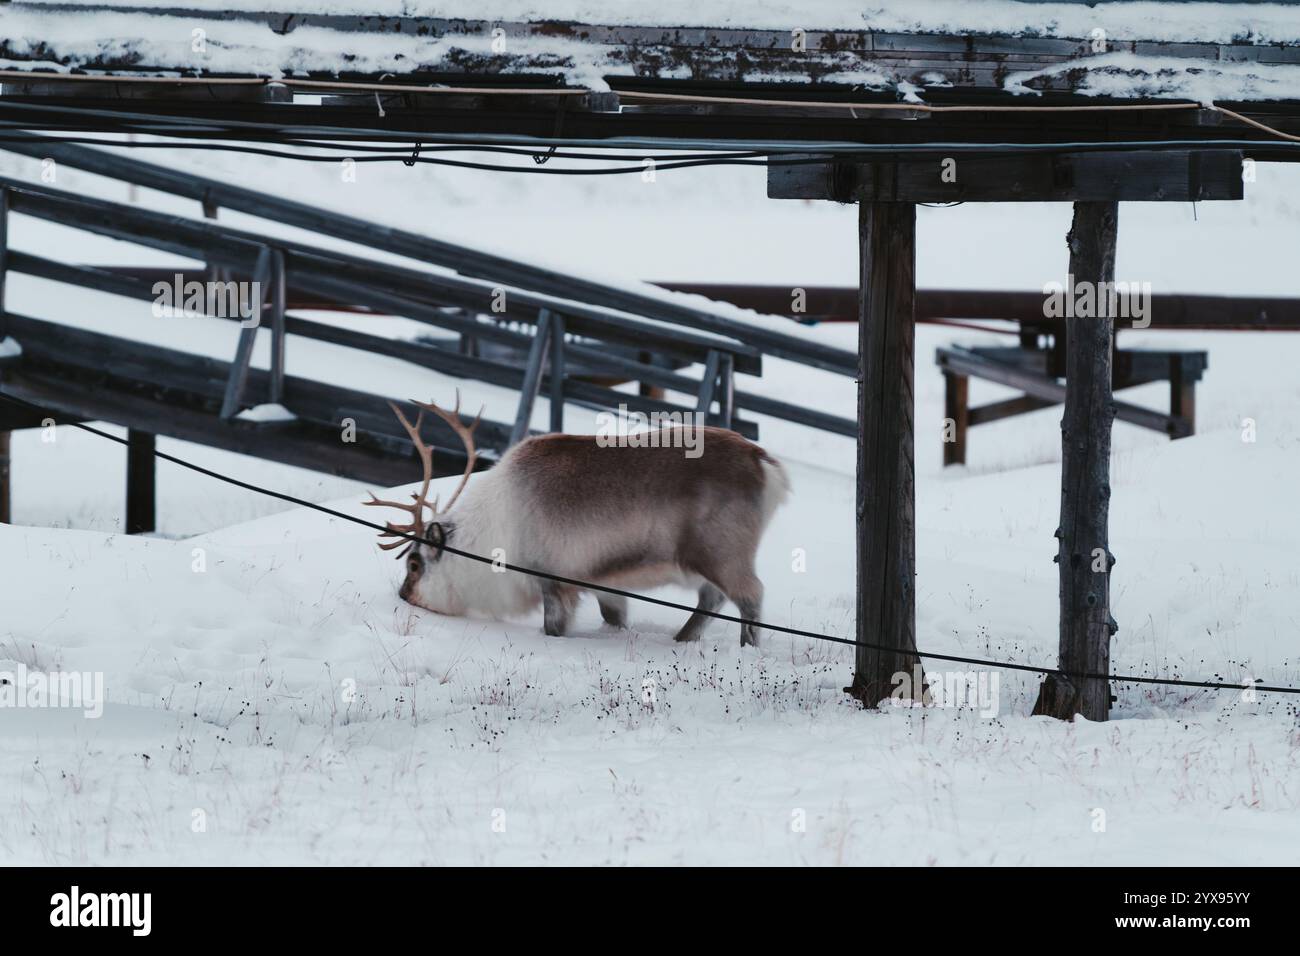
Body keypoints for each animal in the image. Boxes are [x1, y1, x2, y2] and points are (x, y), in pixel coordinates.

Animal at [365, 395, 790, 646]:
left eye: (414, 564)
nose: (404, 596)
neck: (490, 535)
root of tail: (764, 462)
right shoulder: (607, 584)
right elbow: (615, 619)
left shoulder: (554, 581)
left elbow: (554, 628)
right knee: (711, 599)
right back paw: (681, 640)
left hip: (722, 554)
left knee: (750, 597)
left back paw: (746, 648)